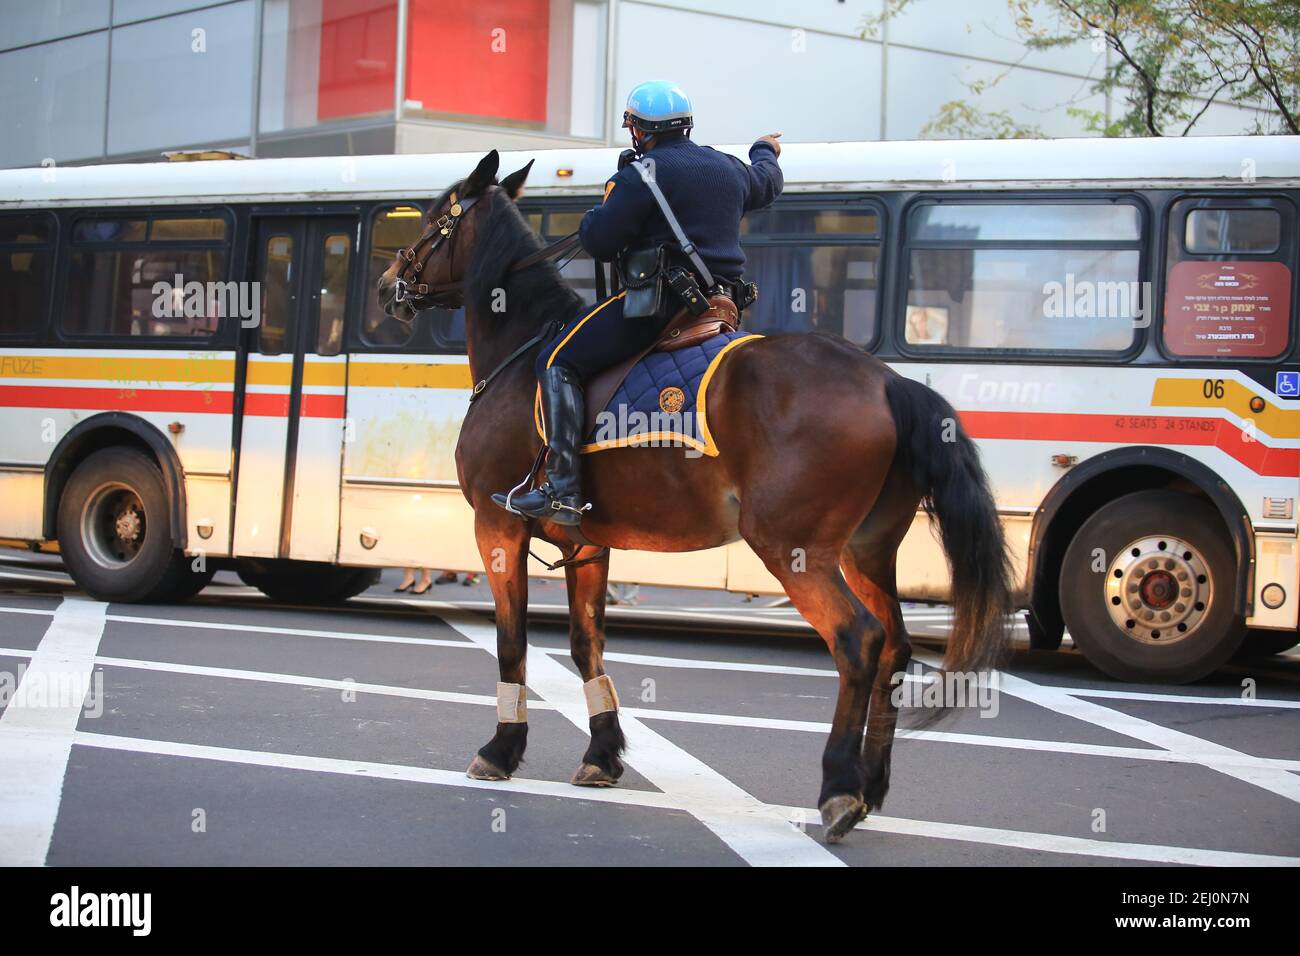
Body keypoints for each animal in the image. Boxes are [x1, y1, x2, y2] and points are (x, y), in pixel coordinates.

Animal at [377, 149, 1013, 843]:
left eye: (433, 219)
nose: (388, 284)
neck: (521, 352)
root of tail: (888, 382)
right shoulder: (586, 544)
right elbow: (585, 642)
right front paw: (602, 754)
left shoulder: (498, 528)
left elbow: (513, 642)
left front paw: (501, 749)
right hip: (867, 550)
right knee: (894, 643)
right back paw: (870, 786)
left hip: (795, 550)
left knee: (858, 640)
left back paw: (840, 790)